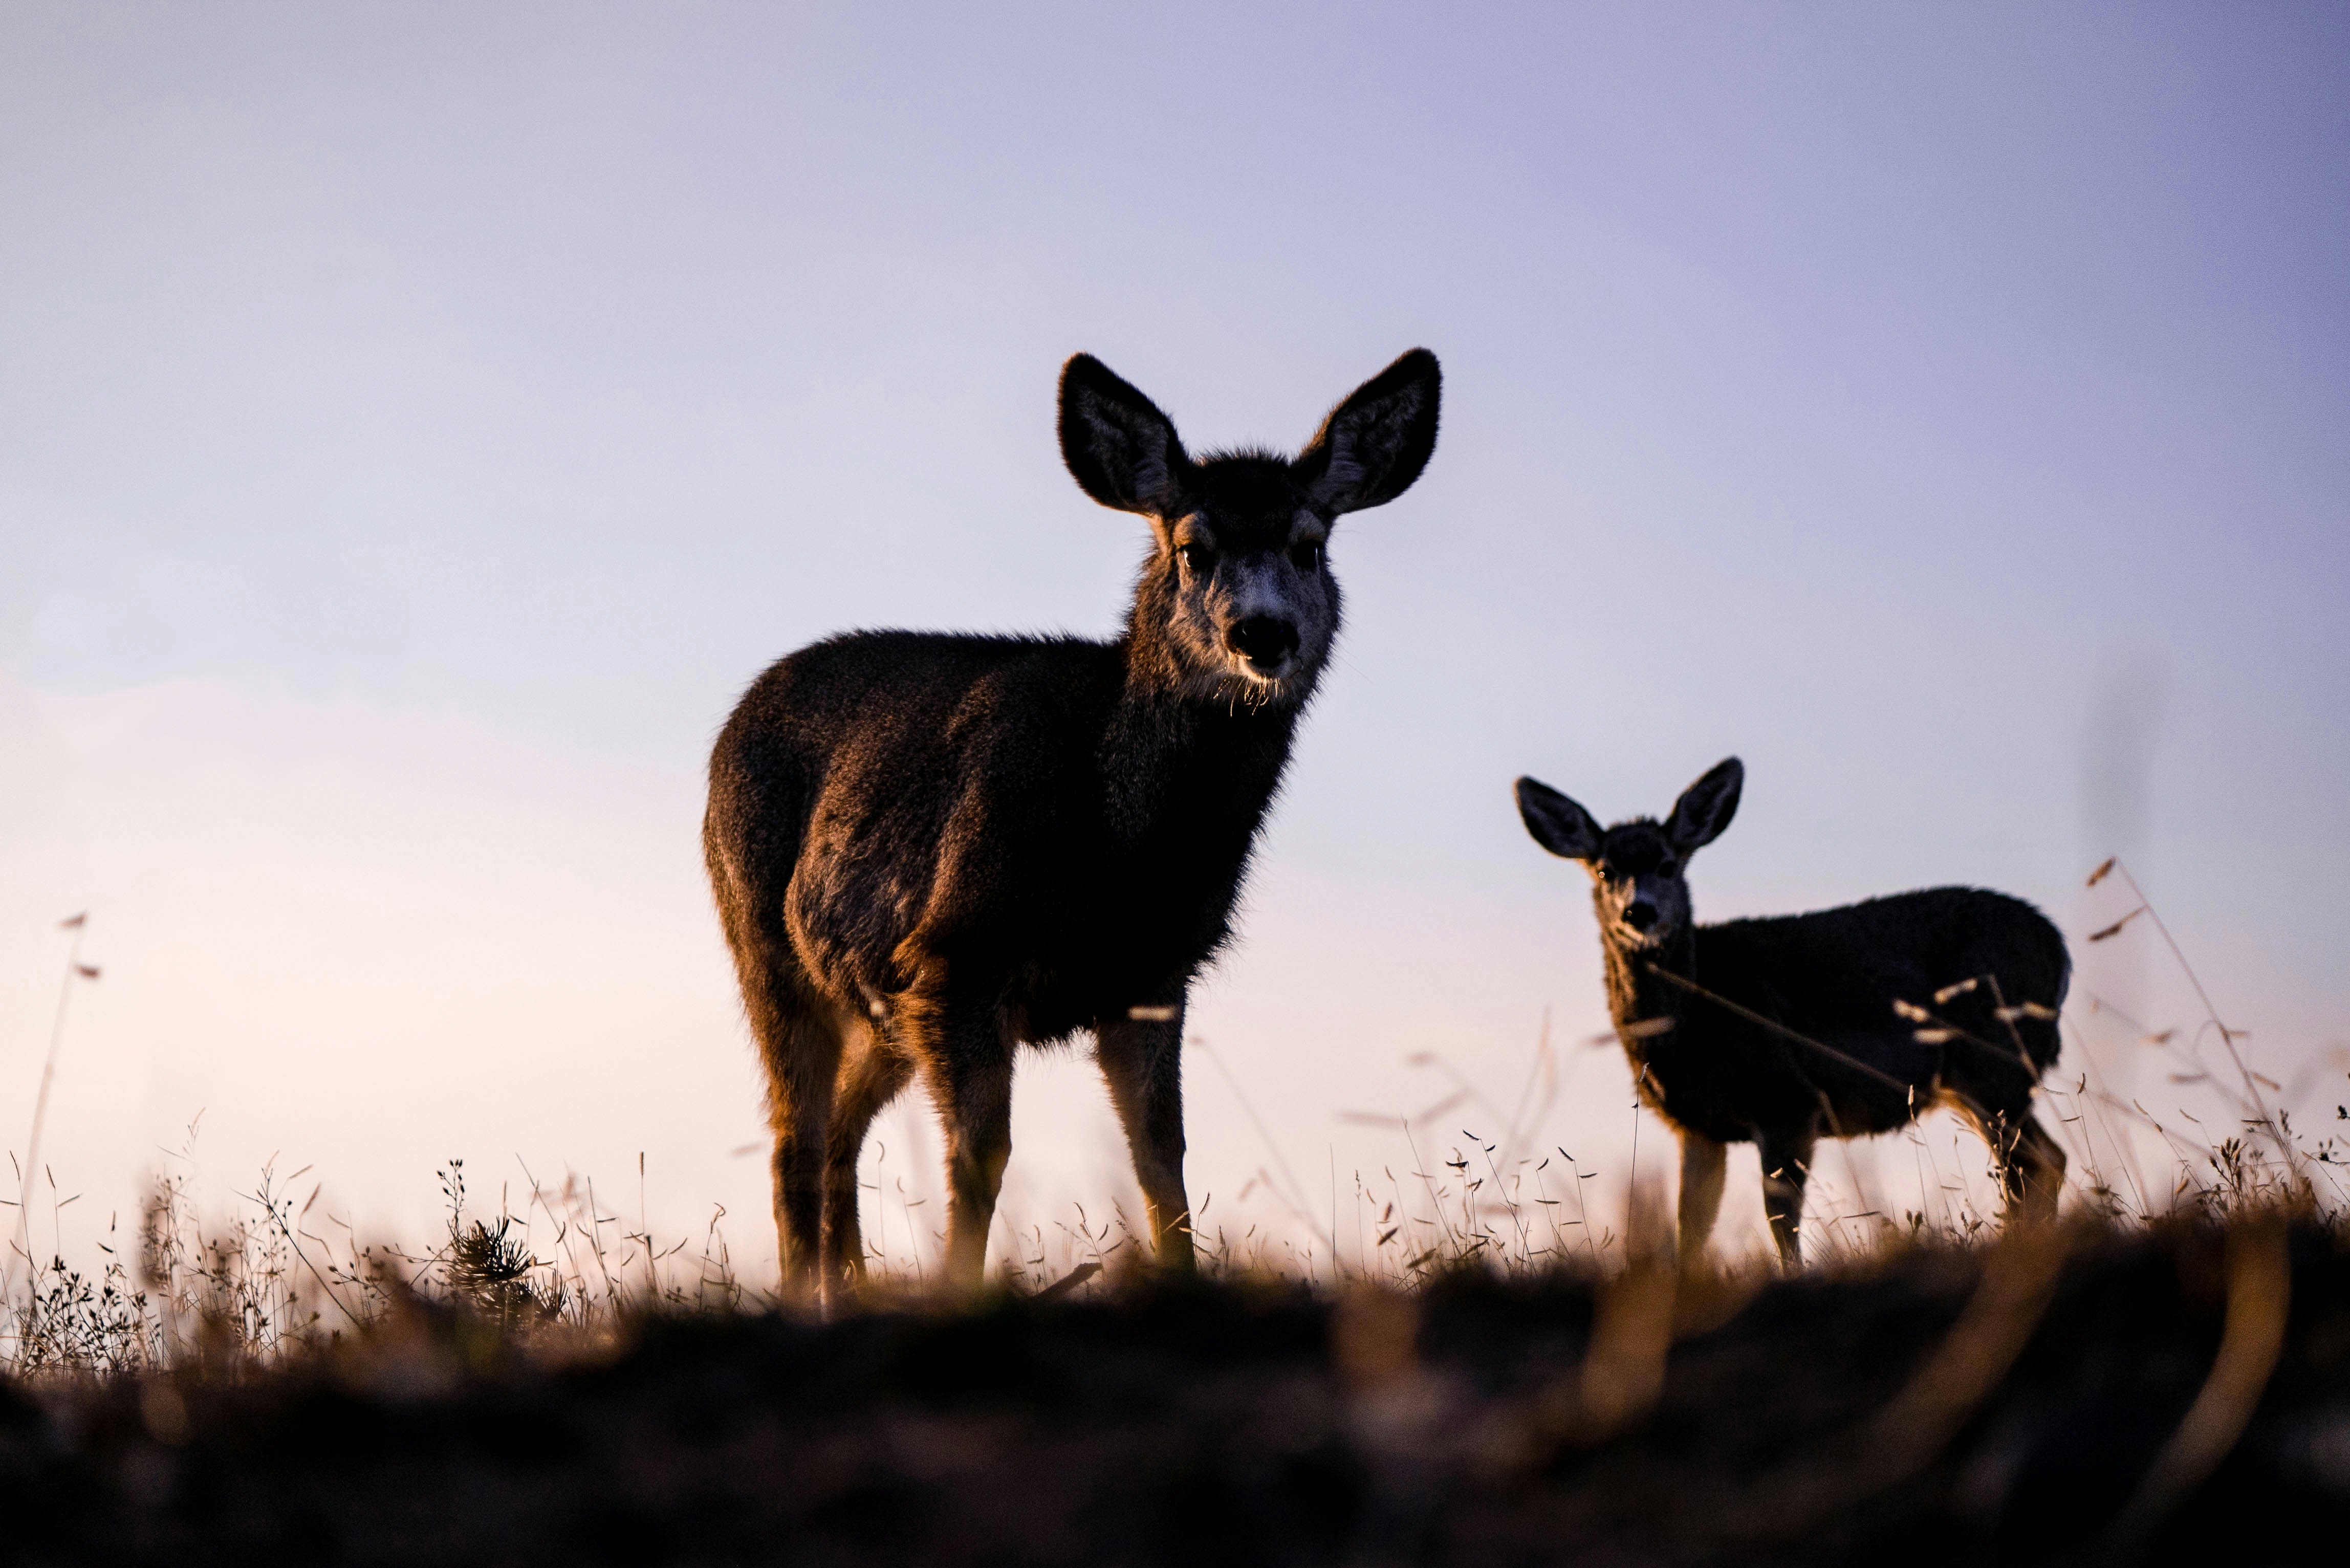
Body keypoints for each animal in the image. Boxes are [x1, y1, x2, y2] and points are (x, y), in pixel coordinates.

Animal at [706, 349, 1441, 1301]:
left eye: (1309, 544)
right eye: (1191, 548)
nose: (1262, 633)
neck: (1120, 851)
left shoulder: (1153, 973)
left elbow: (1161, 1156)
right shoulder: (959, 955)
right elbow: (981, 1156)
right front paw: (959, 1291)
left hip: (879, 1007)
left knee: (837, 1137)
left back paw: (853, 1293)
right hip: (765, 946)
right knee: (794, 1142)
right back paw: (807, 1299)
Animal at [1513, 757, 2068, 1269]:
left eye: (1670, 865)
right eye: (1605, 870)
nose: (1639, 911)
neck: (1693, 1020)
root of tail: (2061, 953)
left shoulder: (1788, 1098)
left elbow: (1780, 1222)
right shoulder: (1699, 1127)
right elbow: (1689, 1229)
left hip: (1993, 1063)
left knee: (2030, 1169)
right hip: (1974, 1081)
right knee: (2047, 1163)